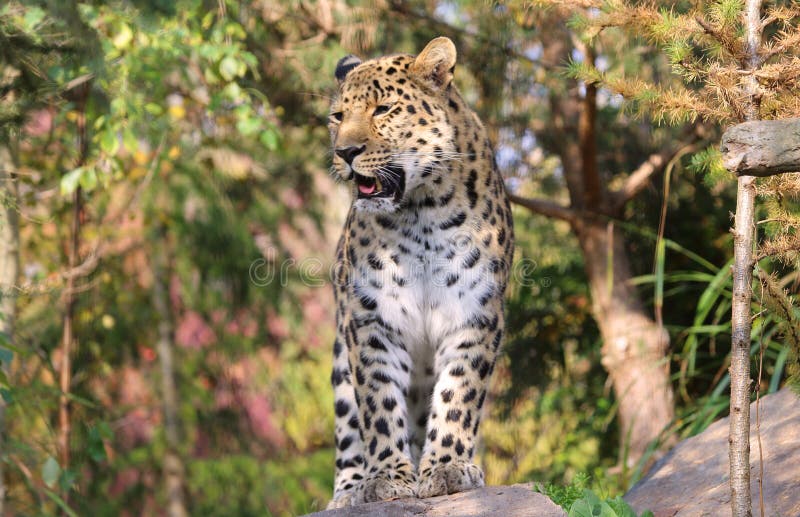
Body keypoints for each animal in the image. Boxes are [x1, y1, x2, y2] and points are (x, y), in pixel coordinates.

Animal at [326, 37, 514, 509]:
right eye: (338, 117)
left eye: (383, 109)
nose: (344, 153)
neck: (422, 211)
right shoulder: (370, 318)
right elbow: (377, 403)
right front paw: (386, 478)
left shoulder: (476, 312)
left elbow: (458, 394)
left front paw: (447, 467)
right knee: (348, 432)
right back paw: (349, 492)